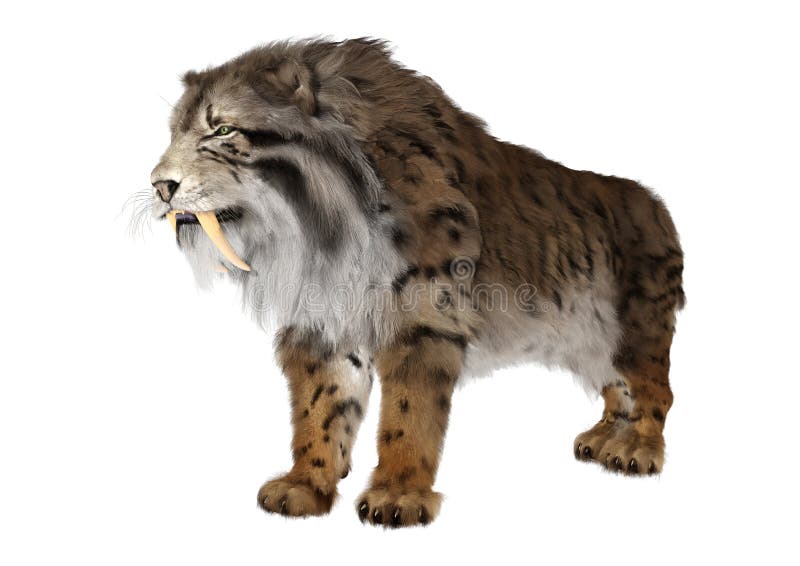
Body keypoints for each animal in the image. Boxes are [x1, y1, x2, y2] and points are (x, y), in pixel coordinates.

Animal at [147, 38, 684, 528]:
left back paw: (637, 449)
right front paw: (307, 485)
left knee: (655, 391)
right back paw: (606, 438)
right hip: (587, 339)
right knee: (617, 389)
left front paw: (398, 496)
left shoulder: (424, 322)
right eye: (174, 133)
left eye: (222, 130)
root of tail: (656, 204)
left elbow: (409, 418)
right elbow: (321, 413)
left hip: (634, 331)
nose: (159, 185)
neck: (317, 228)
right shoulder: (325, 326)